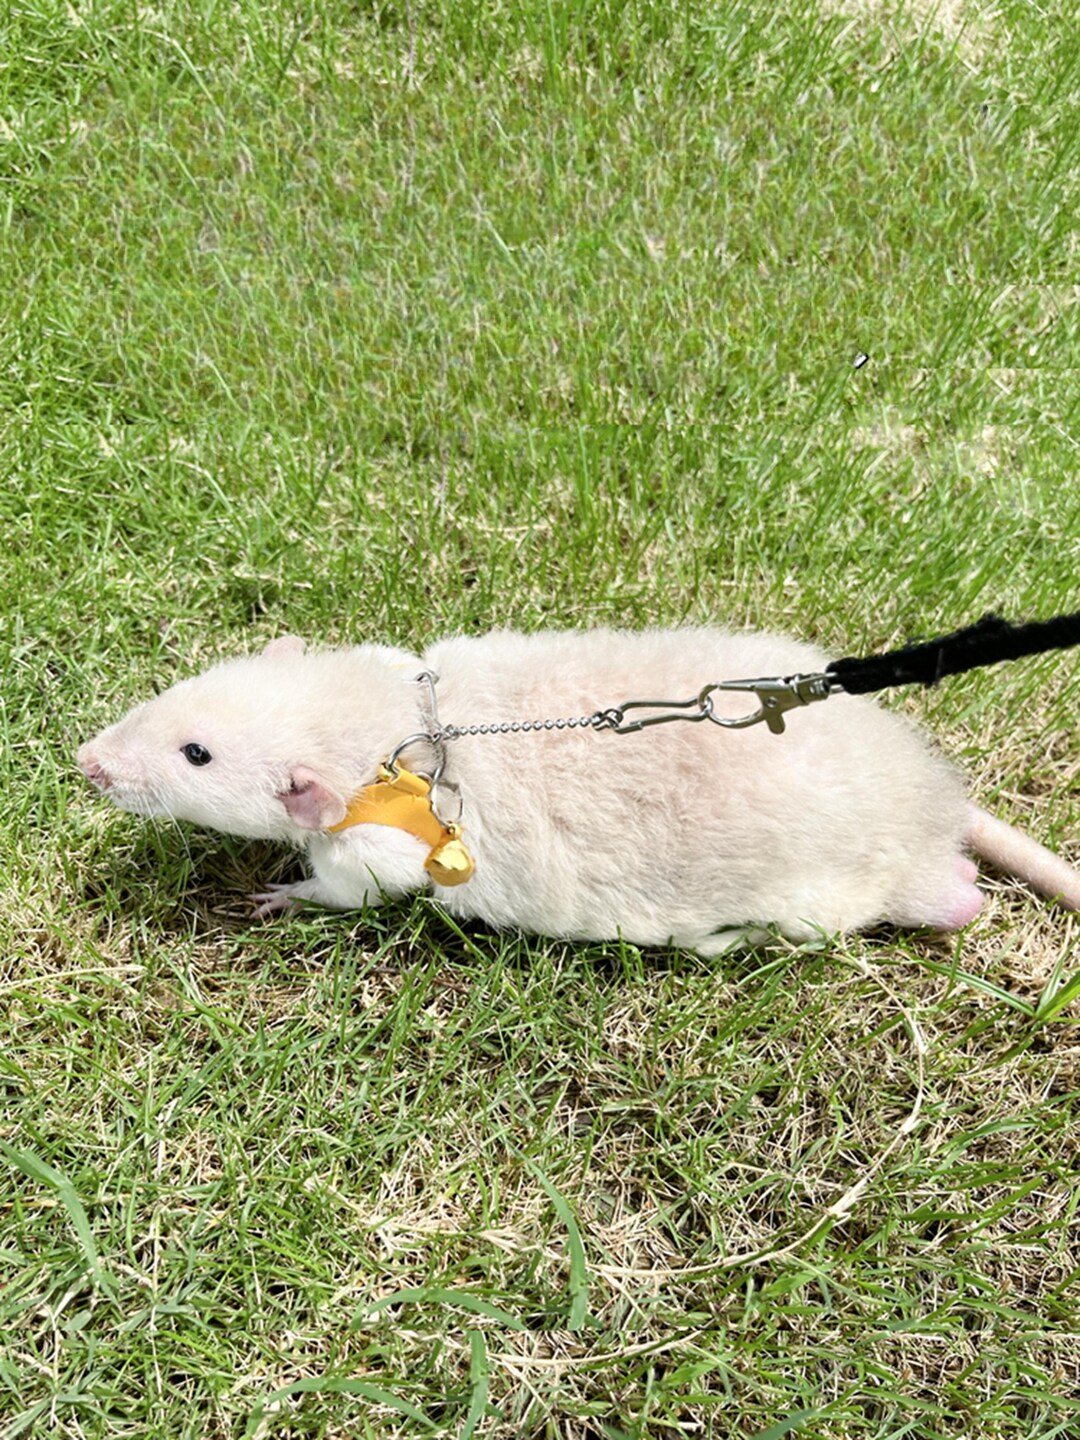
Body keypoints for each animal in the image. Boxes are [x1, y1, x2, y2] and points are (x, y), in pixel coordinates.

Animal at [76, 628, 1080, 956]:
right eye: (187, 692)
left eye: (196, 755)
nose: (88, 761)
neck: (388, 731)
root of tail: (929, 799)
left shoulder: (376, 845)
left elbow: (359, 889)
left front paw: (282, 895)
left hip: (834, 893)